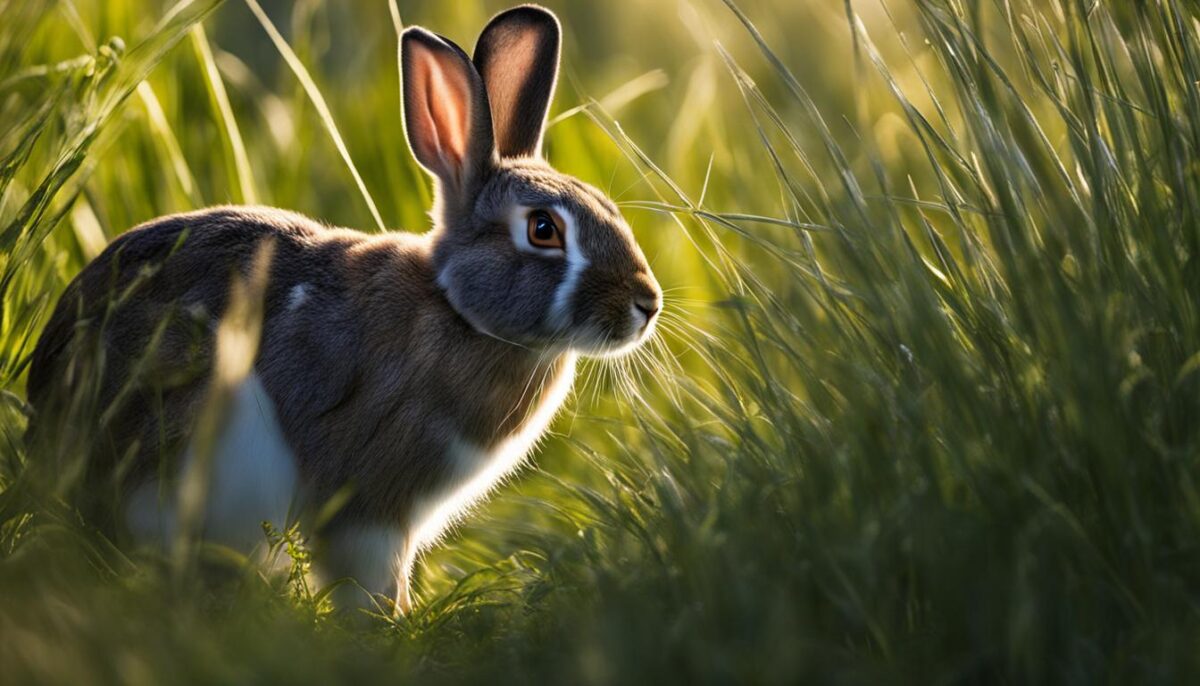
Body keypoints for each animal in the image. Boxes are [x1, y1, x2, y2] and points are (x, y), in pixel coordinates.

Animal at [24, 4, 662, 615]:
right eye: (543, 230)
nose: (647, 303)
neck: (460, 313)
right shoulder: (370, 502)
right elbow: (369, 576)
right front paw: (391, 627)